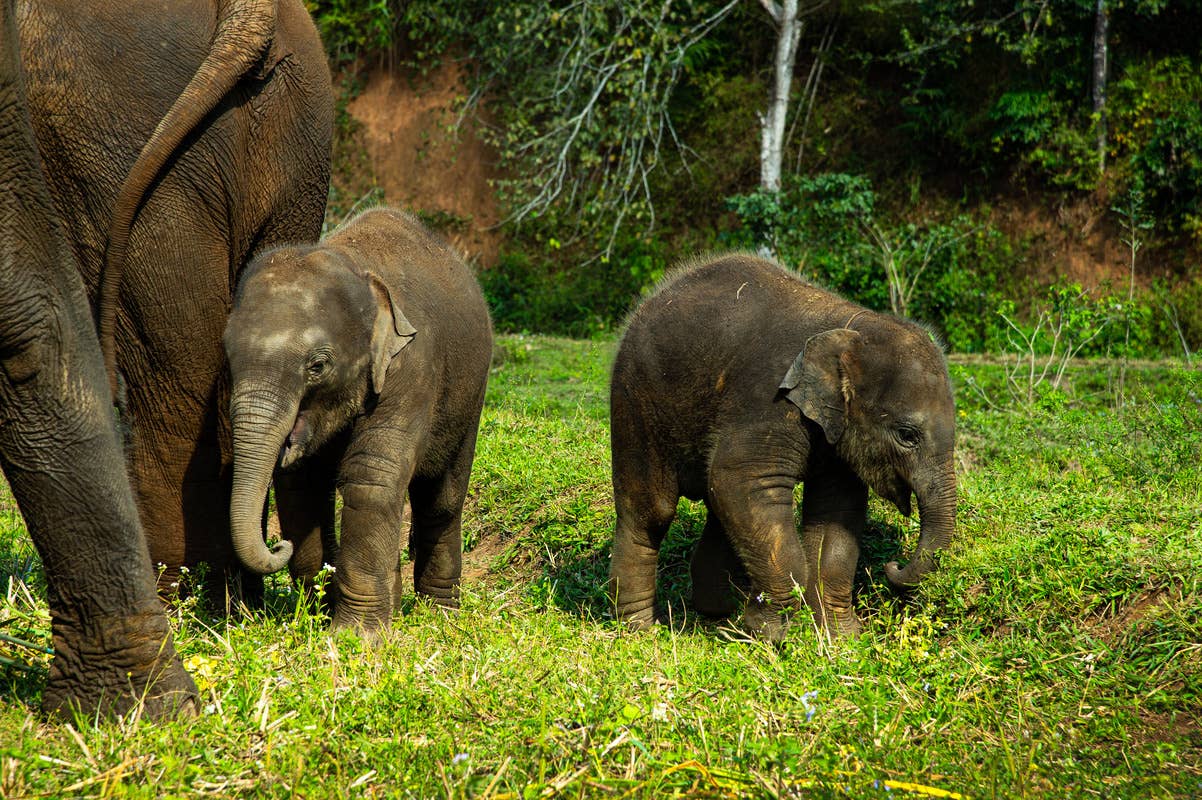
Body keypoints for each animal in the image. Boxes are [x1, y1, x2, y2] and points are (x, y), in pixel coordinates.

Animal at [16, 0, 334, 600]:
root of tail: (250, 14)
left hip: (102, 130)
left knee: (172, 375)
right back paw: (244, 593)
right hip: (301, 119)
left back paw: (181, 591)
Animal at [223, 207, 494, 632]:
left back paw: (440, 615)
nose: (278, 543)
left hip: (471, 394)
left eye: (317, 365)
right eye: (228, 356)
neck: (353, 266)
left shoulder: (411, 368)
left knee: (442, 500)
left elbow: (371, 478)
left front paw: (356, 636)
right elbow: (299, 485)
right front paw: (319, 614)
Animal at [608, 253, 957, 640]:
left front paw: (839, 636)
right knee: (653, 511)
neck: (850, 329)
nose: (892, 566)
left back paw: (719, 616)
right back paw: (640, 630)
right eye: (907, 434)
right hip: (635, 400)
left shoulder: (834, 430)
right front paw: (776, 634)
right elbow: (741, 481)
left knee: (717, 508)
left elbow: (836, 512)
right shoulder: (769, 398)